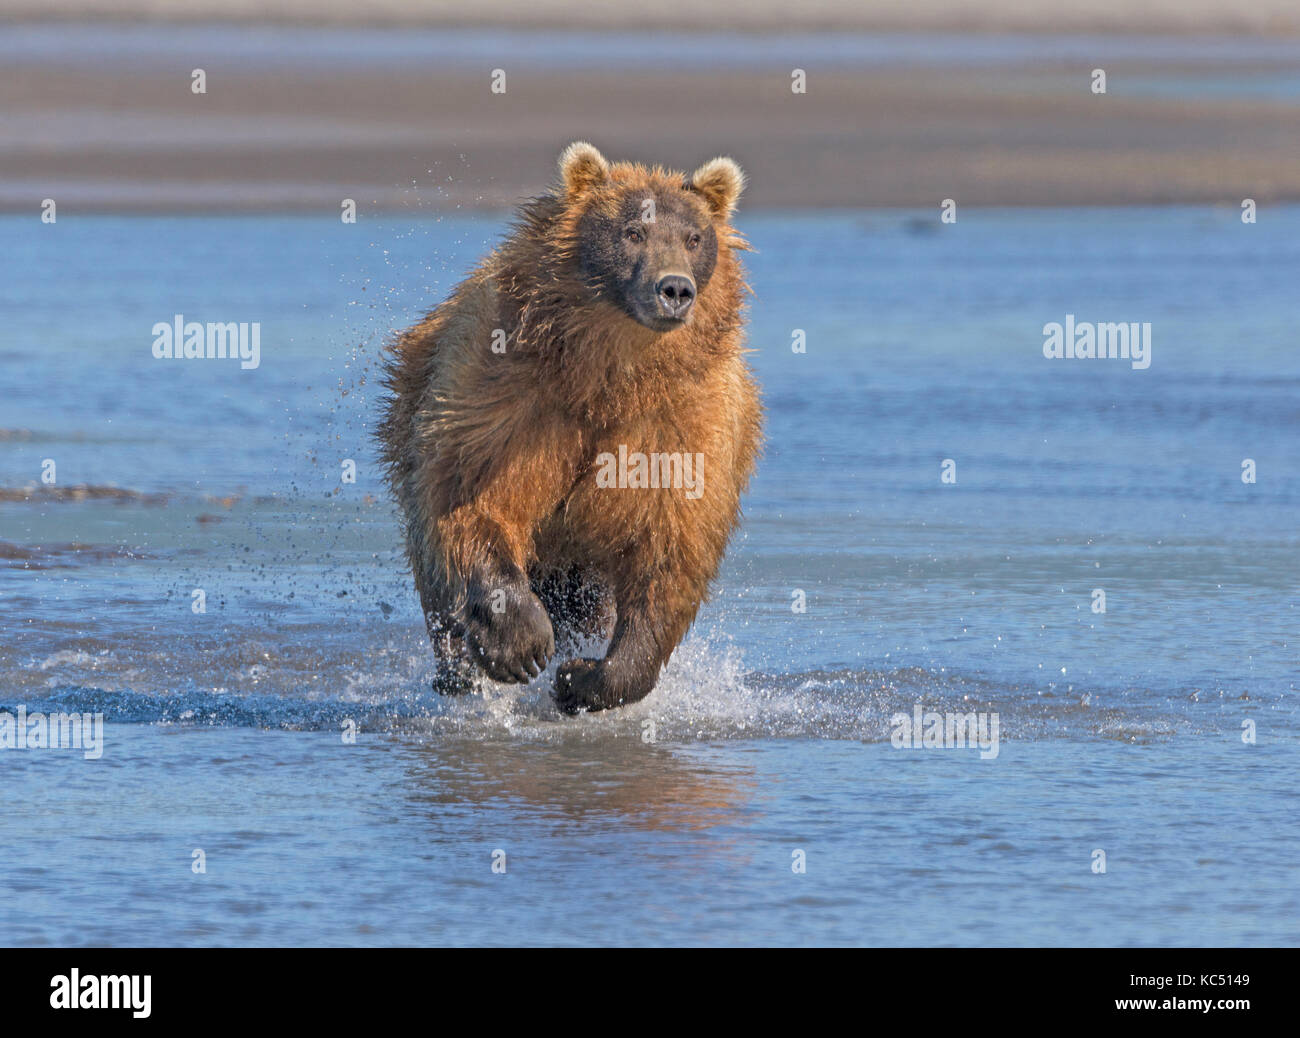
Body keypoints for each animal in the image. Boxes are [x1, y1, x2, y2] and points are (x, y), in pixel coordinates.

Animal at [377, 142, 762, 713]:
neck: (611, 376)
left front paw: (585, 677)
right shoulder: (510, 391)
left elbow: (672, 548)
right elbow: (474, 494)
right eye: (633, 231)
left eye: (694, 238)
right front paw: (521, 644)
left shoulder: (683, 424)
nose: (674, 288)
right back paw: (461, 668)